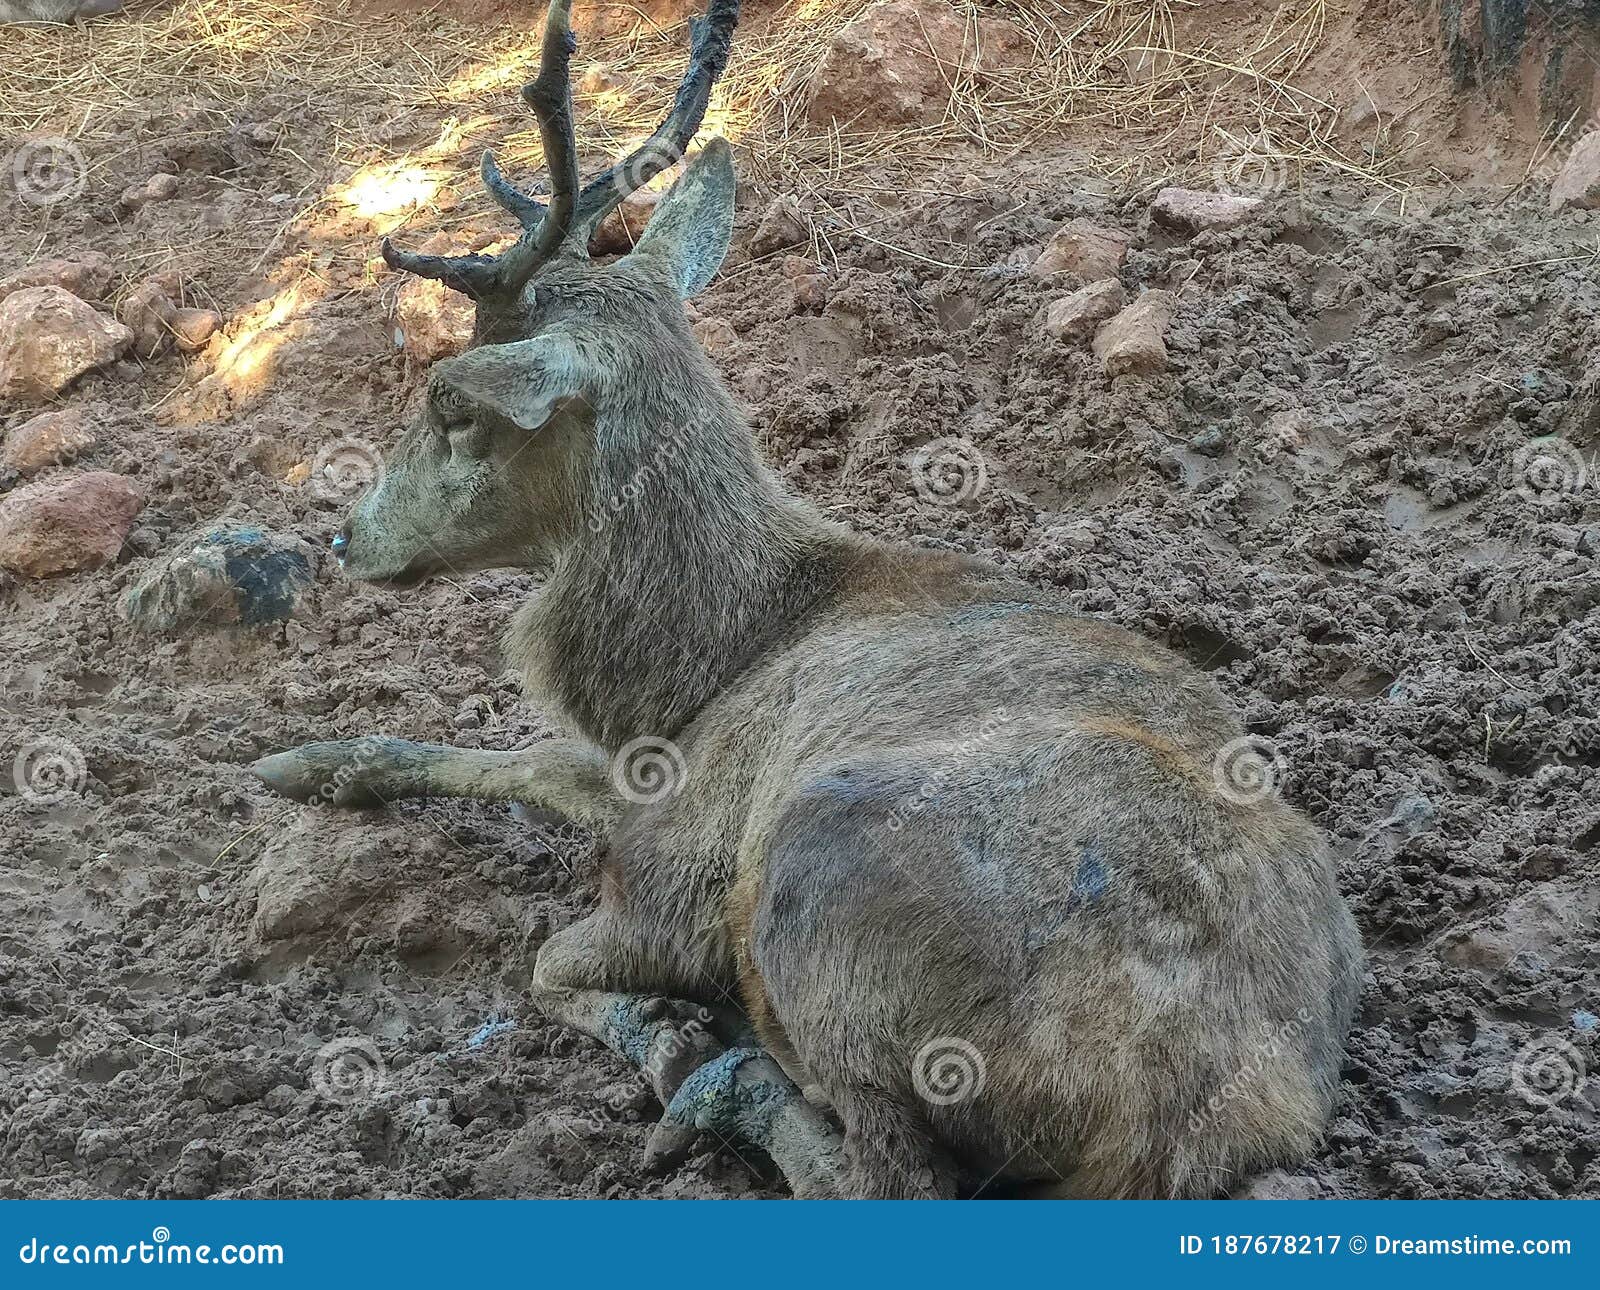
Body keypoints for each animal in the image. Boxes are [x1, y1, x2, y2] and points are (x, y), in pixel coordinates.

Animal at [254, 0, 1362, 1198]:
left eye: (453, 403)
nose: (346, 536)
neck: (697, 675)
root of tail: (1191, 1124)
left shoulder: (676, 877)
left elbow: (549, 960)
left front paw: (669, 1033)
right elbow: (533, 759)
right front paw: (308, 764)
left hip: (821, 885)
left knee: (885, 1175)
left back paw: (725, 1083)